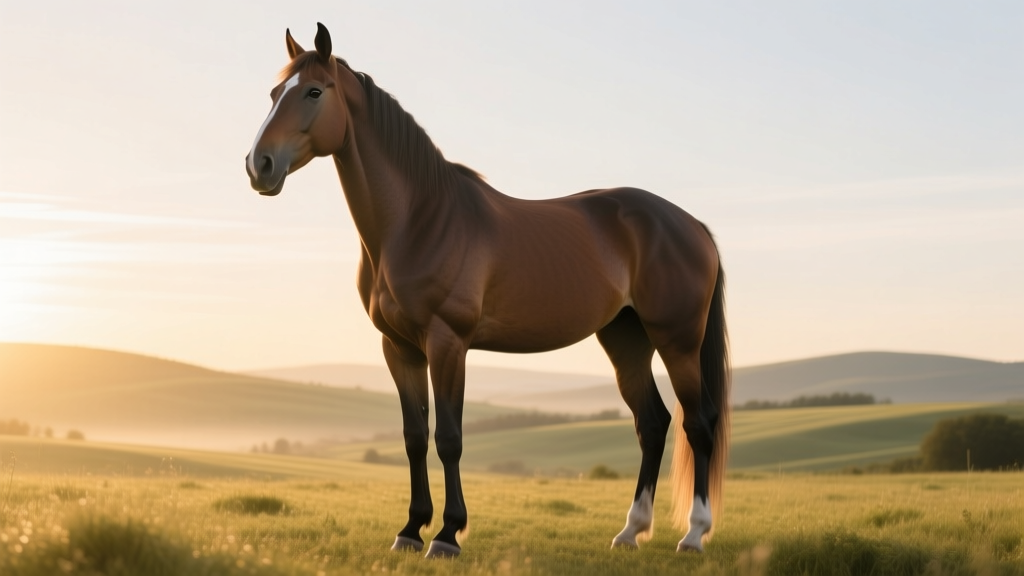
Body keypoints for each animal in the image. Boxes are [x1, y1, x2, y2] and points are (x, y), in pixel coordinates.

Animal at [246, 23, 730, 559]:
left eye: (314, 92)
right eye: (274, 93)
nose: (259, 165)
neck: (418, 220)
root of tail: (691, 225)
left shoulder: (447, 343)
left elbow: (449, 437)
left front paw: (447, 536)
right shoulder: (399, 348)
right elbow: (414, 437)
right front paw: (410, 530)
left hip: (677, 340)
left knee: (697, 423)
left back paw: (694, 534)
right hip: (626, 339)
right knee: (653, 424)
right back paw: (629, 532)